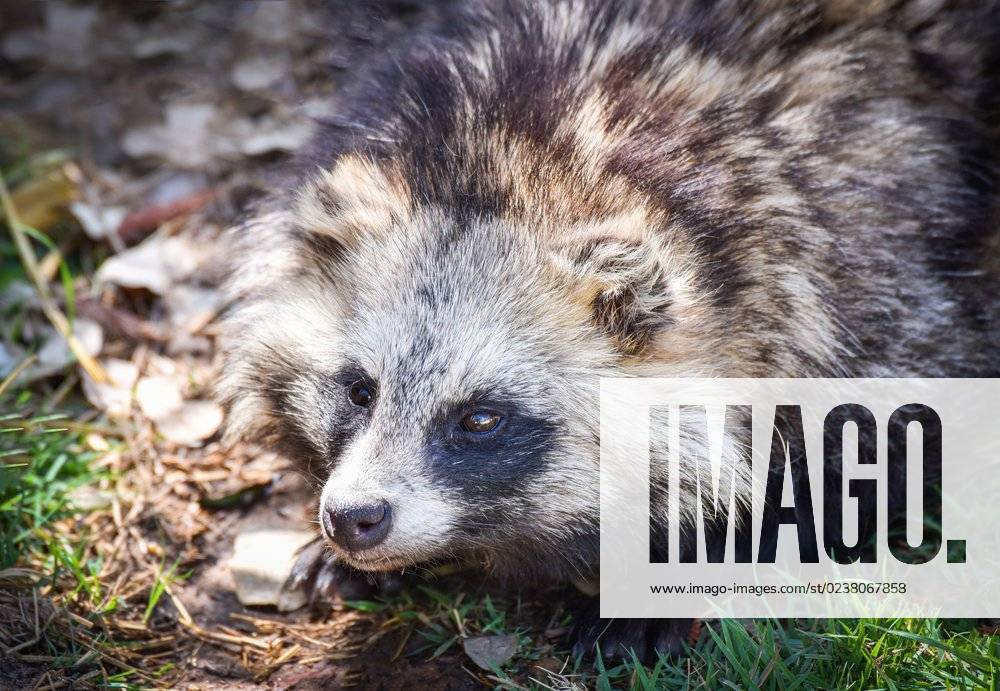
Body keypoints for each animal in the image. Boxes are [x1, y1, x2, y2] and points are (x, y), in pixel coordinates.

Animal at [219, 0, 1000, 659]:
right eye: (359, 391)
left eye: (481, 418)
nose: (353, 516)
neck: (519, 158)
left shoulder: (870, 270)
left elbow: (882, 444)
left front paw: (700, 549)